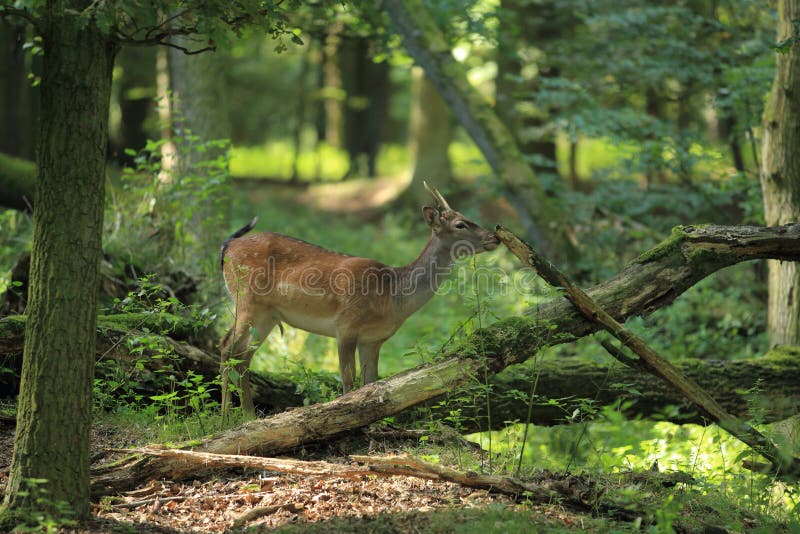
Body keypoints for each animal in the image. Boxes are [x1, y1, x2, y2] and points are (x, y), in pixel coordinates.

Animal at [219, 183, 500, 416]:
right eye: (460, 224)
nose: (494, 237)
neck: (392, 297)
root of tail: (228, 247)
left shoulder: (373, 340)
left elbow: (371, 382)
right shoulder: (345, 325)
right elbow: (347, 379)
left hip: (267, 316)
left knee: (243, 356)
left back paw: (248, 415)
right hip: (247, 300)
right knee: (227, 346)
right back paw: (225, 417)